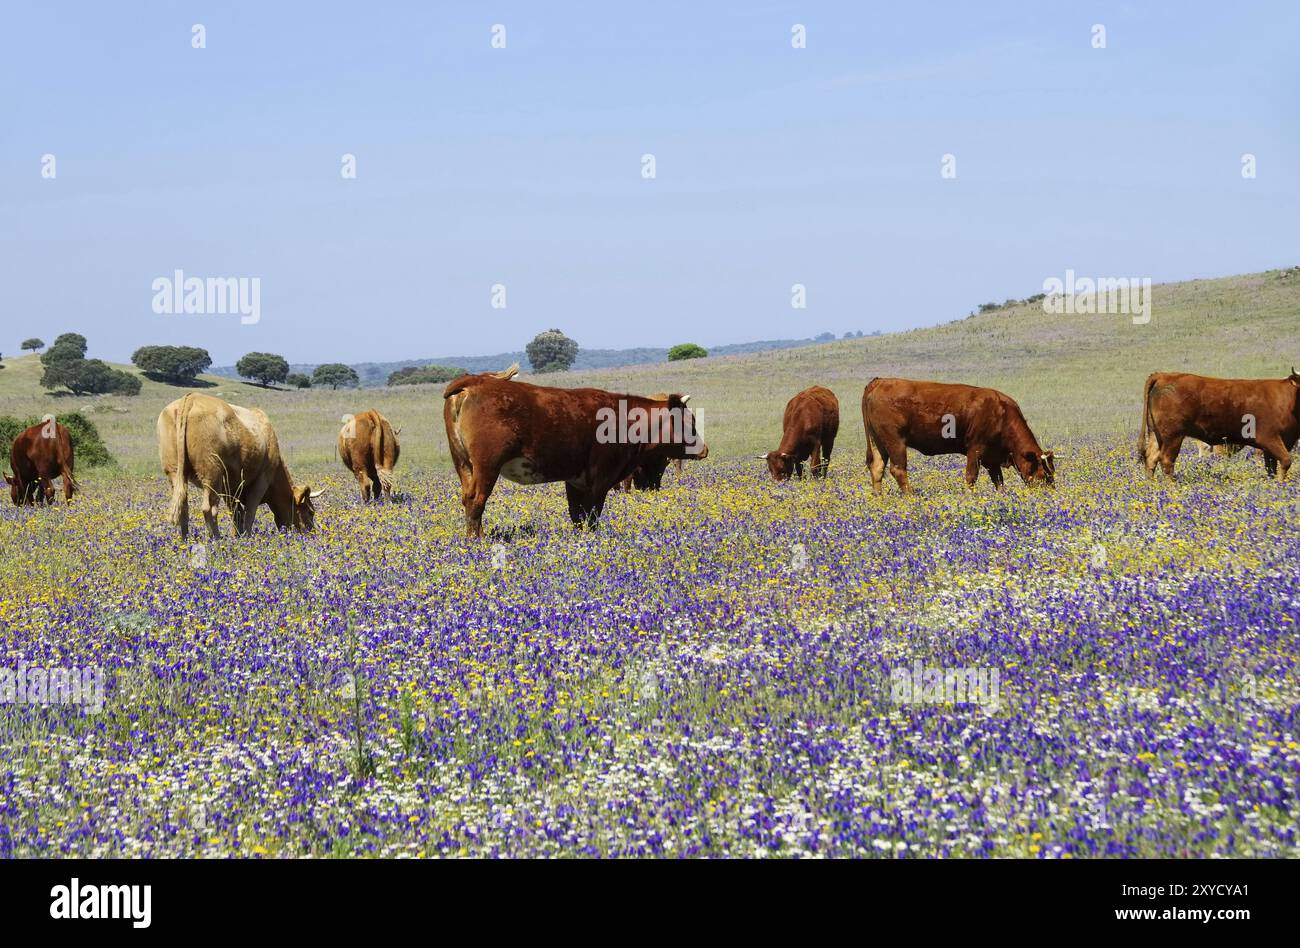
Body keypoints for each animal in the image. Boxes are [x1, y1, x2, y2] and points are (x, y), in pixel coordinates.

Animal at [157, 392, 323, 539]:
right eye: (310, 511)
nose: (312, 535)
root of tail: (191, 398)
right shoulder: (262, 480)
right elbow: (250, 512)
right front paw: (246, 538)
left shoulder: (230, 488)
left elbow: (236, 514)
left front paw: (236, 536)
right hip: (211, 473)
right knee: (208, 508)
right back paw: (216, 539)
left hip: (175, 472)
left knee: (182, 507)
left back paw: (185, 541)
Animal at [443, 365, 708, 536]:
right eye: (689, 421)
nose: (704, 450)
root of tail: (476, 381)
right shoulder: (600, 479)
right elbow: (592, 516)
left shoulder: (576, 480)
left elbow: (577, 516)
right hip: (487, 466)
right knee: (476, 500)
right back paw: (478, 541)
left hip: (463, 464)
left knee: (468, 498)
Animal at [862, 378, 1055, 495]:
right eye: (1043, 475)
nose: (1051, 493)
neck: (1002, 412)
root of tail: (879, 381)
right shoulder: (976, 449)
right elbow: (971, 476)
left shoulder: (992, 458)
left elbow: (999, 481)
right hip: (895, 441)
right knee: (898, 470)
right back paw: (911, 497)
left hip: (878, 442)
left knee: (877, 468)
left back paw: (879, 498)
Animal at [1139, 369, 1300, 480]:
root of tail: (1163, 375)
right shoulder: (1269, 439)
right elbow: (1286, 461)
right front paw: (1279, 484)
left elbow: (1271, 468)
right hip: (1173, 436)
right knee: (1166, 460)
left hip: (1156, 434)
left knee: (1151, 458)